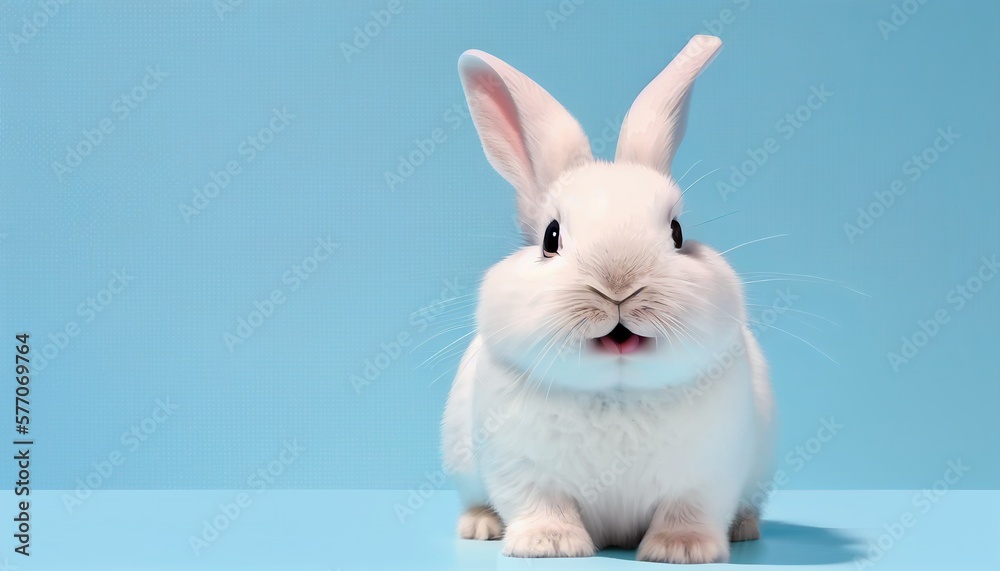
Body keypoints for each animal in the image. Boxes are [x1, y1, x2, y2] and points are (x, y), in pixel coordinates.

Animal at [440, 35, 776, 564]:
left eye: (678, 232)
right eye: (550, 238)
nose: (619, 282)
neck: (615, 394)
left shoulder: (708, 475)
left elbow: (687, 511)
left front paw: (681, 550)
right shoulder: (521, 469)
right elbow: (540, 504)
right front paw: (548, 545)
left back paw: (744, 528)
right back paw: (480, 526)